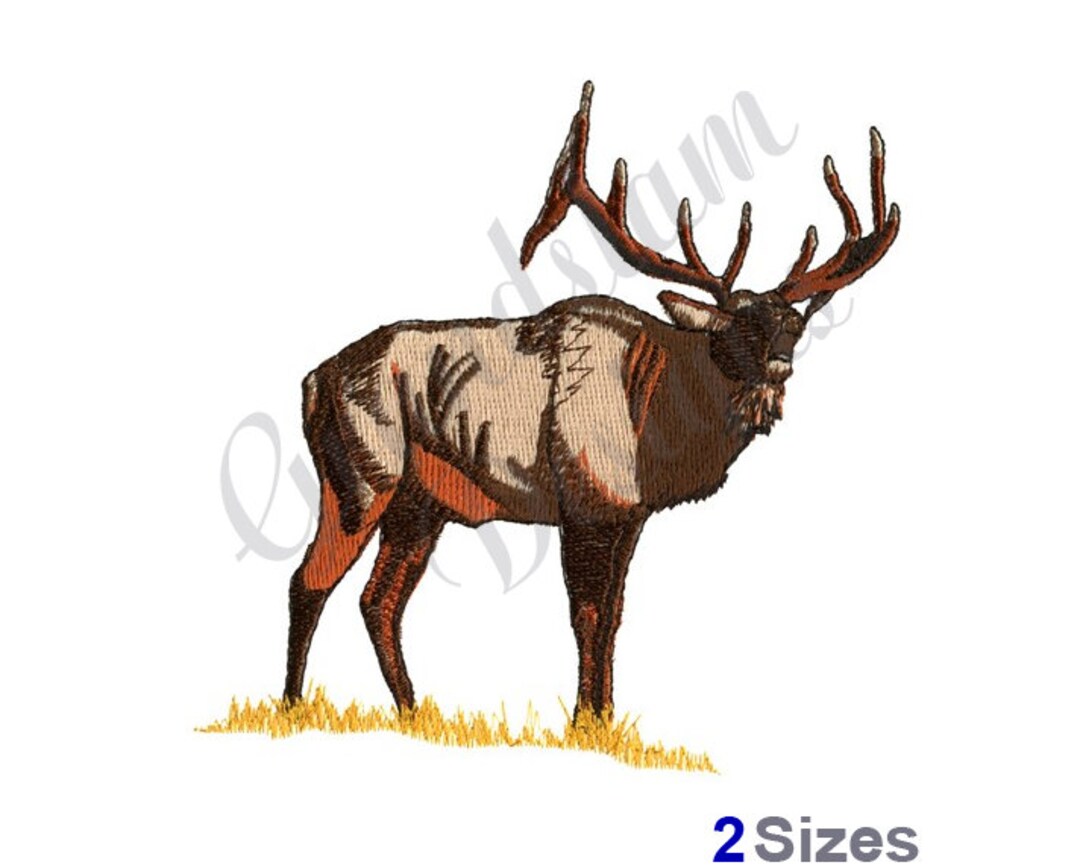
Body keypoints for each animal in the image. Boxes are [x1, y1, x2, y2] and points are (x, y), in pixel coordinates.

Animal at [283, 82, 900, 720]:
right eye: (737, 325)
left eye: (792, 326)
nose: (780, 361)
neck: (660, 431)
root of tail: (311, 383)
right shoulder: (584, 503)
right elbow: (587, 615)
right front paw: (583, 719)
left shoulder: (629, 516)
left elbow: (615, 620)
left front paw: (605, 715)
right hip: (360, 476)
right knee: (309, 580)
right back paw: (294, 705)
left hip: (419, 505)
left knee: (378, 600)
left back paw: (415, 710)